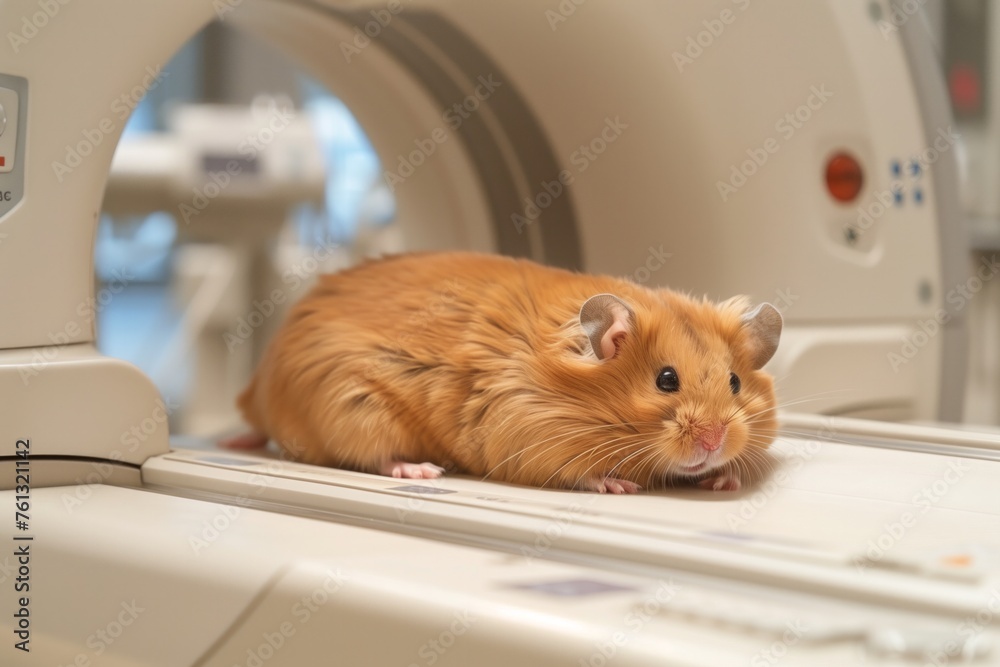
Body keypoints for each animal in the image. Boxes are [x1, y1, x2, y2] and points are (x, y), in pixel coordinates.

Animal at [230, 251, 782, 494]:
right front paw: (618, 485)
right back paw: (422, 470)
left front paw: (725, 481)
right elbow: (581, 473)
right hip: (353, 408)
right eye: (667, 380)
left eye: (735, 383)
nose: (713, 441)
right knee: (374, 456)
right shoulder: (529, 433)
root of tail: (256, 392)